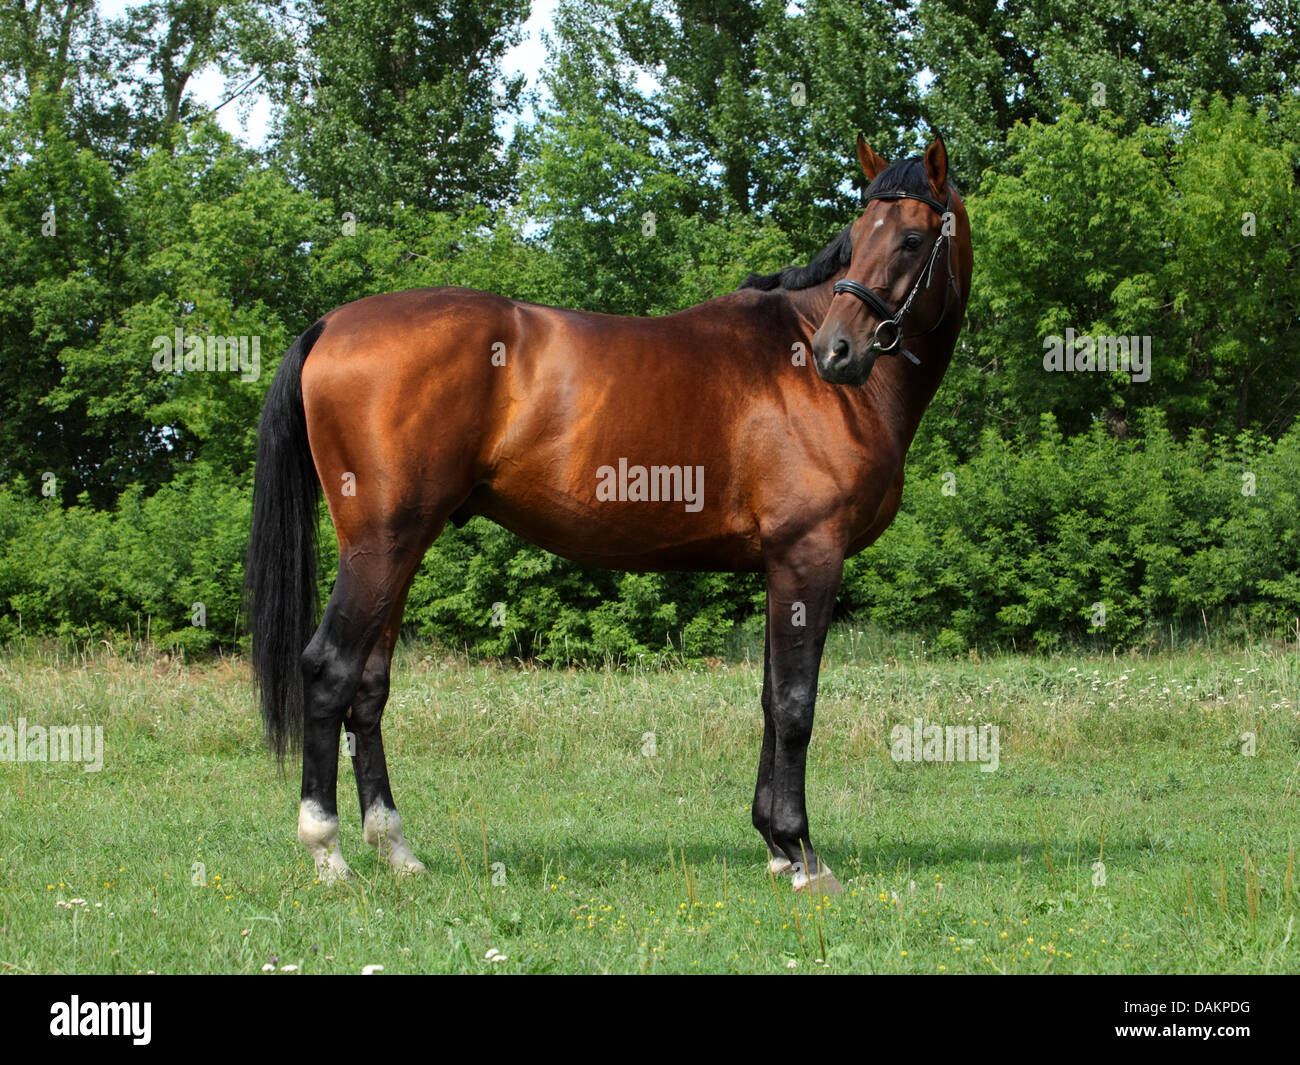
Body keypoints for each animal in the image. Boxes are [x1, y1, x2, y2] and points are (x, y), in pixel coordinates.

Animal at [245, 133, 972, 894]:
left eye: (910, 238)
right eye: (858, 237)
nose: (838, 352)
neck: (799, 364)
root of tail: (332, 324)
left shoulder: (781, 564)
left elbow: (772, 699)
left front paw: (775, 843)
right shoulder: (808, 554)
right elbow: (797, 704)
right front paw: (802, 852)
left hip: (399, 548)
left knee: (369, 684)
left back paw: (395, 848)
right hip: (381, 544)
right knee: (329, 670)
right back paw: (327, 851)